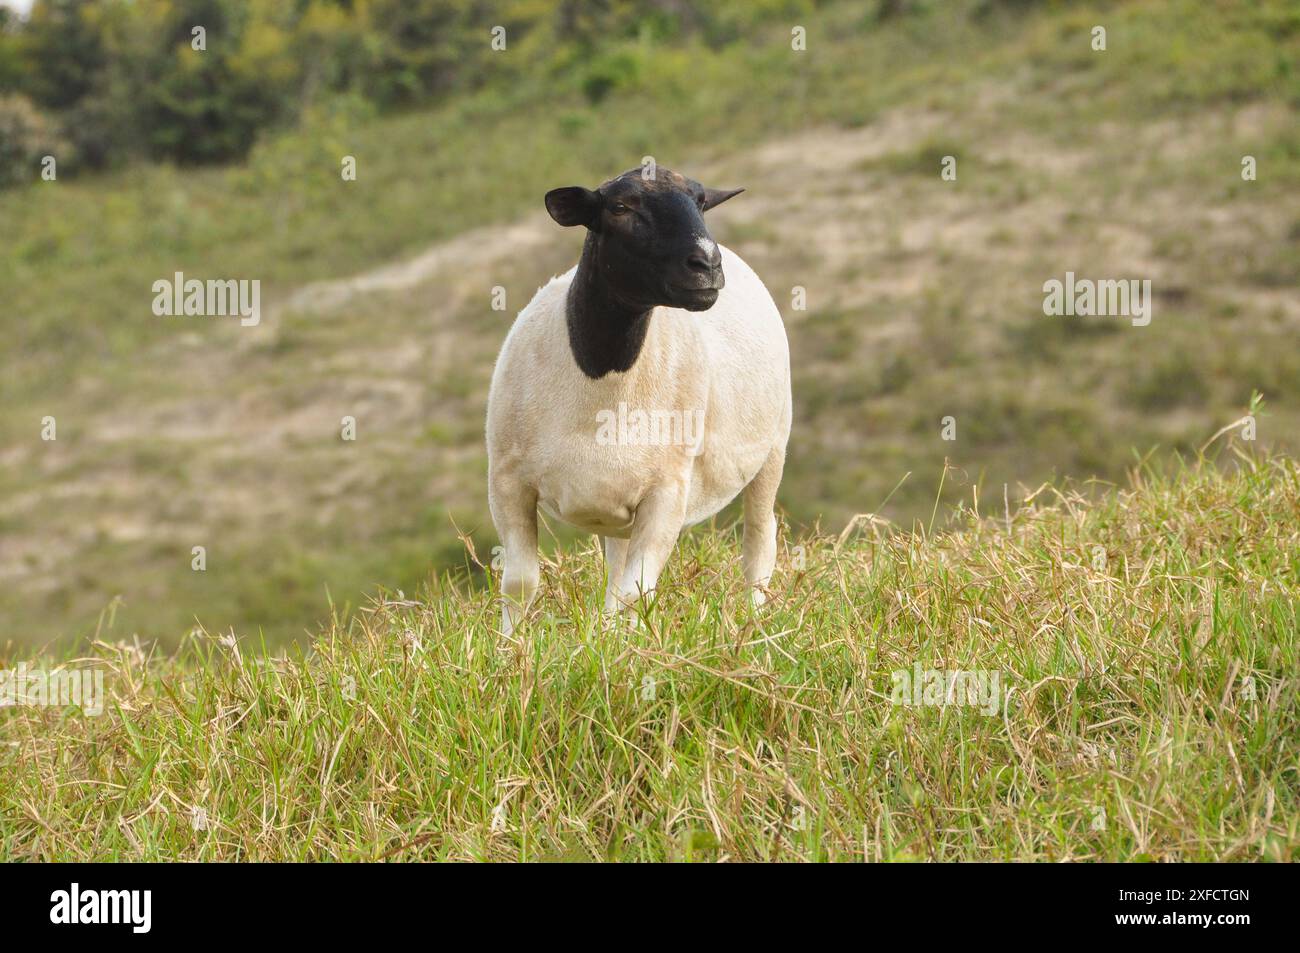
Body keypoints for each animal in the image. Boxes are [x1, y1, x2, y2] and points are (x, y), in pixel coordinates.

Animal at [485, 166, 791, 635]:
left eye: (701, 202)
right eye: (620, 207)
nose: (708, 264)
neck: (600, 377)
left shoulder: (667, 492)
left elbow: (636, 592)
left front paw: (622, 648)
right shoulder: (507, 480)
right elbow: (520, 583)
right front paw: (510, 647)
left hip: (773, 446)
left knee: (759, 540)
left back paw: (752, 621)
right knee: (615, 568)